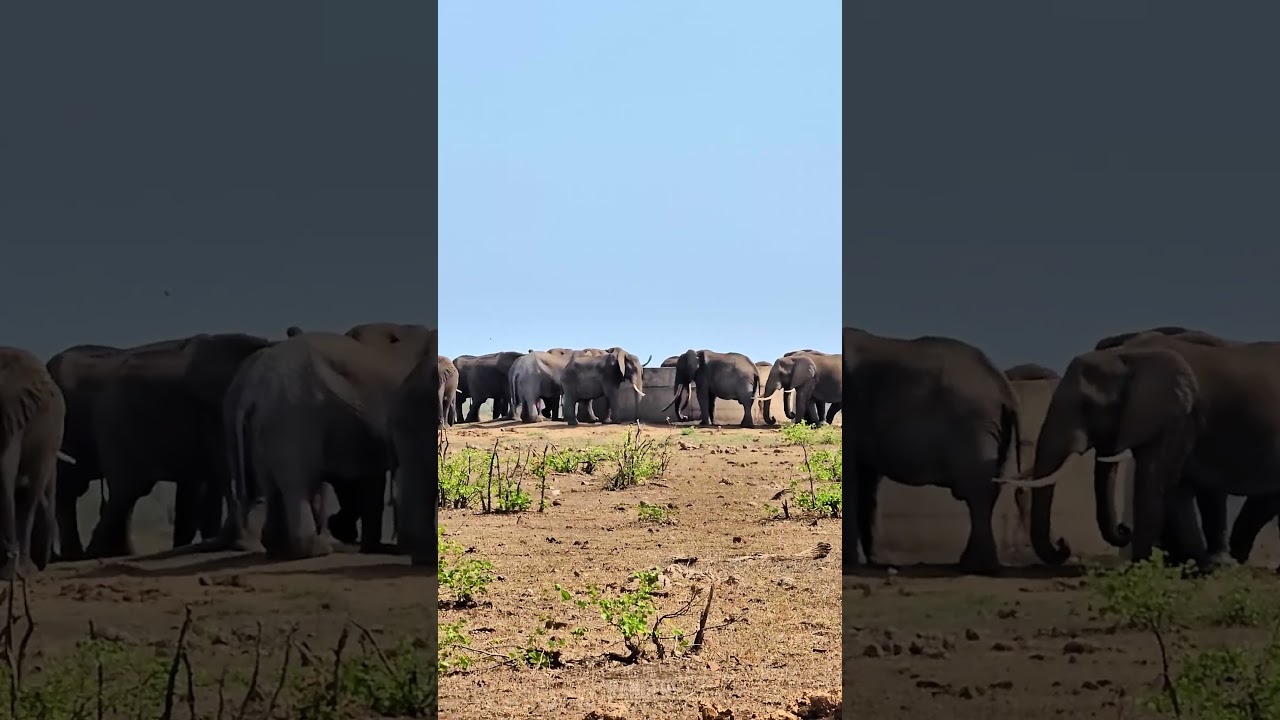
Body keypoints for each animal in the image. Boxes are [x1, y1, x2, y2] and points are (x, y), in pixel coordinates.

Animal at [843, 327, 1024, 575]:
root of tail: (1004, 385)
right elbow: (867, 481)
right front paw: (874, 561)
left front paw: (852, 564)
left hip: (972, 423)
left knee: (978, 489)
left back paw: (975, 567)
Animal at [1003, 332, 1280, 571]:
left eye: (1089, 406)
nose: (1063, 544)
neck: (1128, 355)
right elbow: (1175, 489)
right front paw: (1191, 566)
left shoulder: (1178, 418)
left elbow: (1154, 481)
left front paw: (1141, 566)